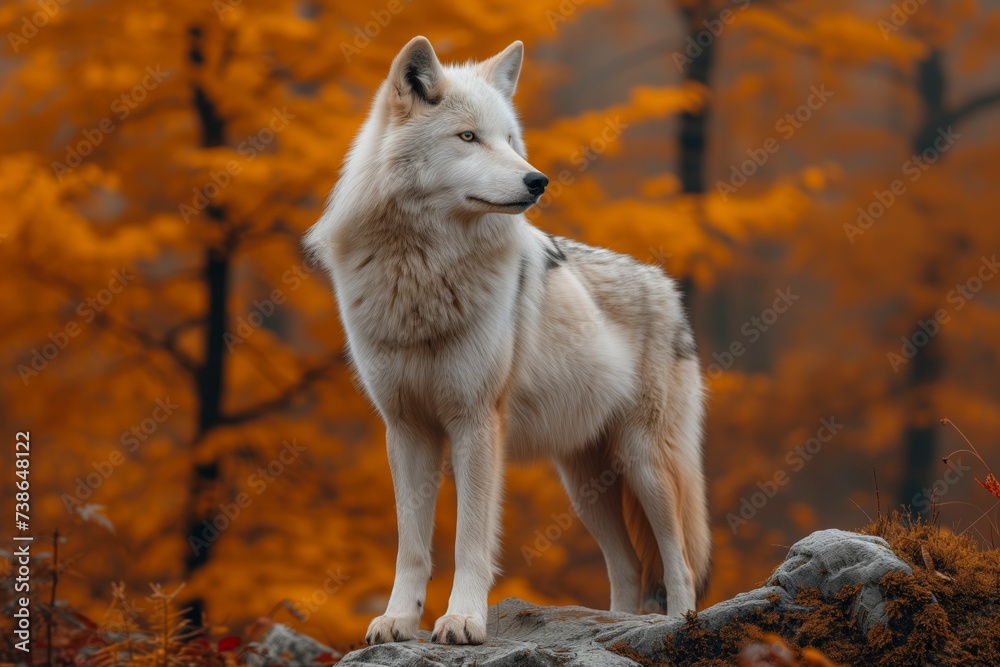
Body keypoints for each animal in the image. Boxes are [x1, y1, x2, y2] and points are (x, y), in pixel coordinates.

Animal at [304, 36, 710, 646]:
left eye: (511, 141)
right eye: (469, 137)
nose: (537, 181)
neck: (421, 271)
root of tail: (666, 287)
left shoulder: (476, 422)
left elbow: (470, 539)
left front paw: (463, 620)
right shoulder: (406, 429)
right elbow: (412, 546)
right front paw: (399, 619)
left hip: (646, 464)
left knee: (677, 559)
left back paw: (678, 625)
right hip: (586, 486)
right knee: (630, 565)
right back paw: (614, 624)